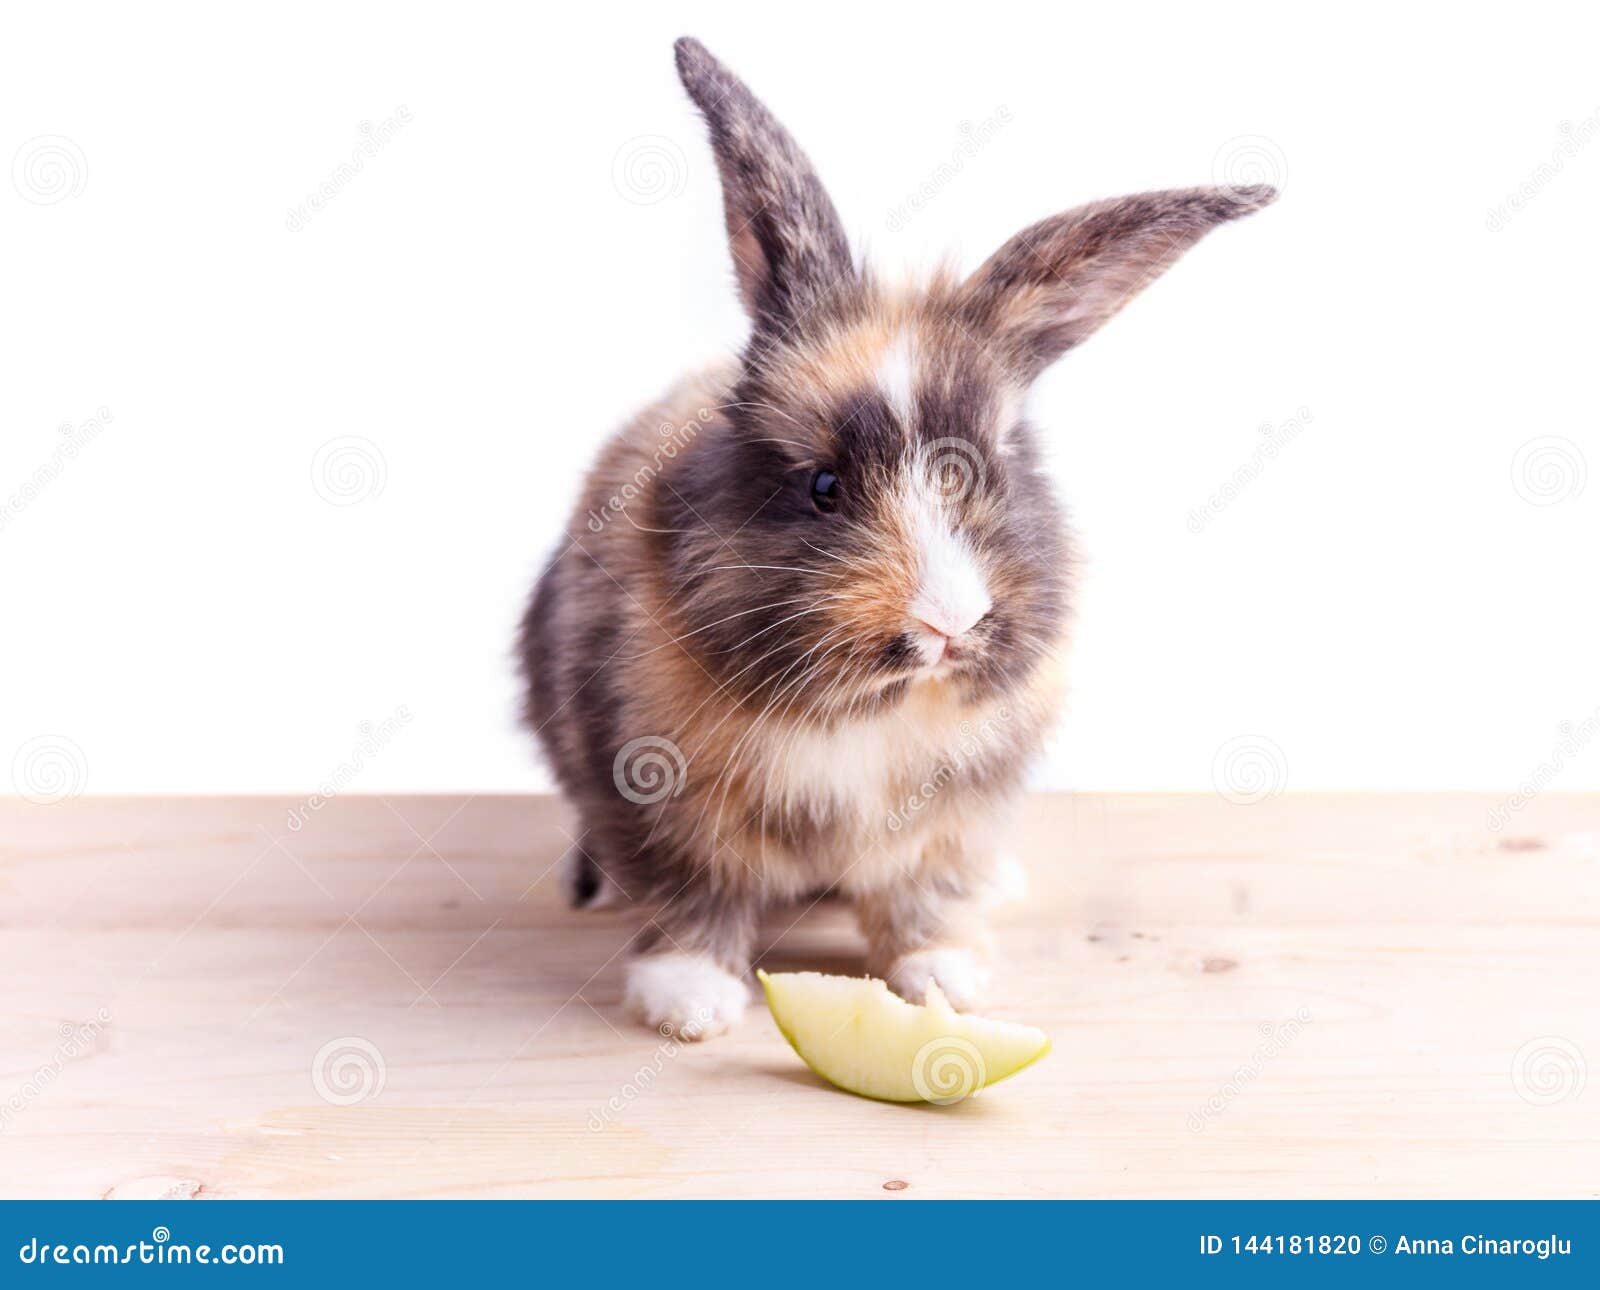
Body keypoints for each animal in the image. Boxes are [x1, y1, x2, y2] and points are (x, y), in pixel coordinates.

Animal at [519, 36, 1275, 1039]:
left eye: (991, 472)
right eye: (823, 486)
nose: (948, 620)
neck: (868, 713)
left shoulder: (953, 816)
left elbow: (925, 898)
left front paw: (947, 979)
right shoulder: (656, 792)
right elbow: (691, 896)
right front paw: (690, 1003)